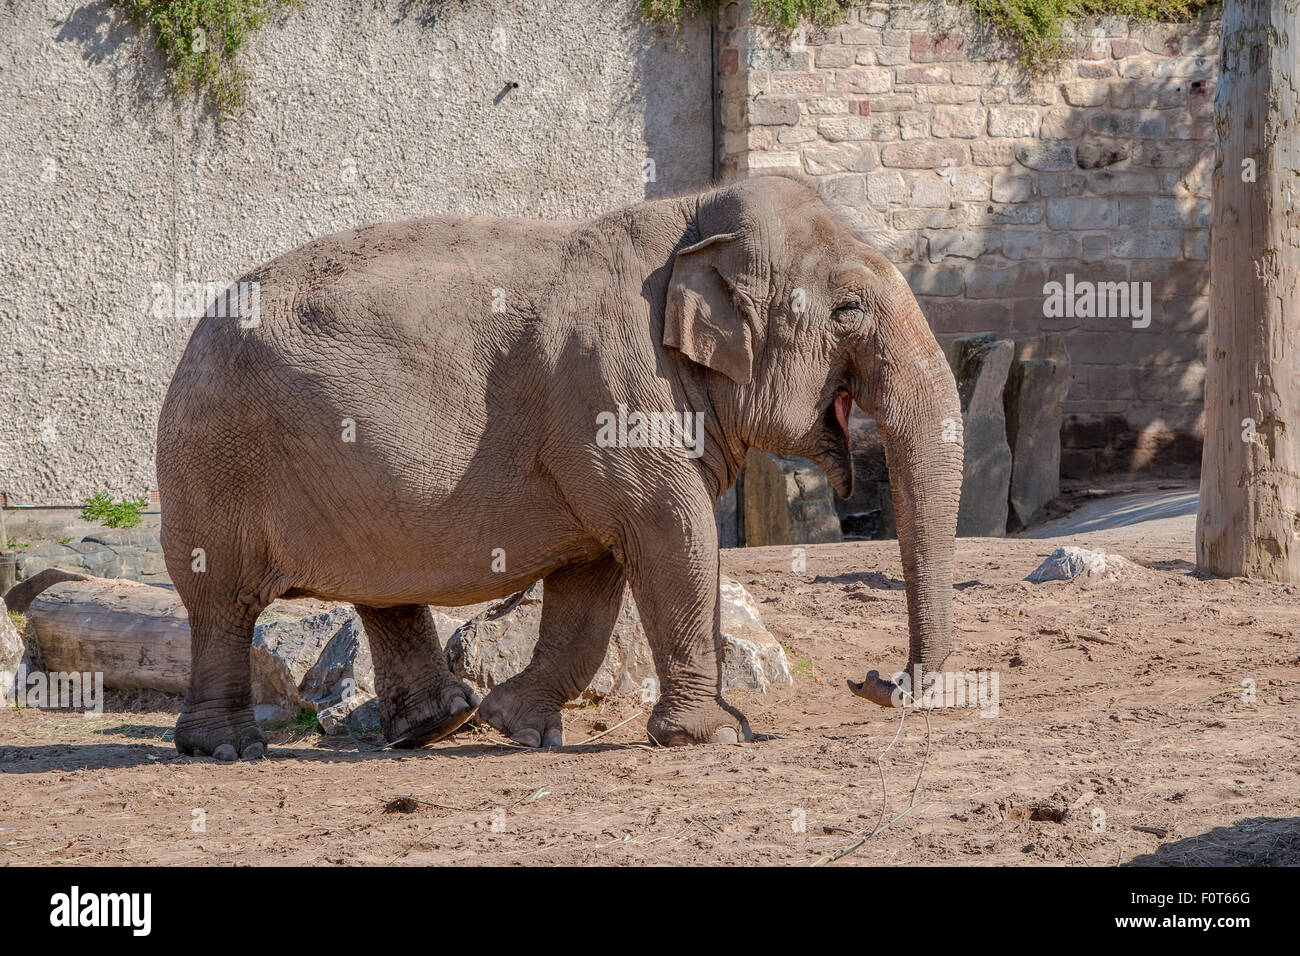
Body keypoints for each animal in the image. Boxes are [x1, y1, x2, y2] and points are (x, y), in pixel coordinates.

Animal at [155, 174, 963, 760]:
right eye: (849, 309)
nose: (876, 682)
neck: (689, 219)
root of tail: (193, 330)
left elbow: (597, 570)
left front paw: (518, 725)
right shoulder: (612, 392)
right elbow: (674, 531)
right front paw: (719, 735)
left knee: (381, 585)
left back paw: (439, 727)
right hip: (215, 456)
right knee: (222, 601)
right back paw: (227, 749)